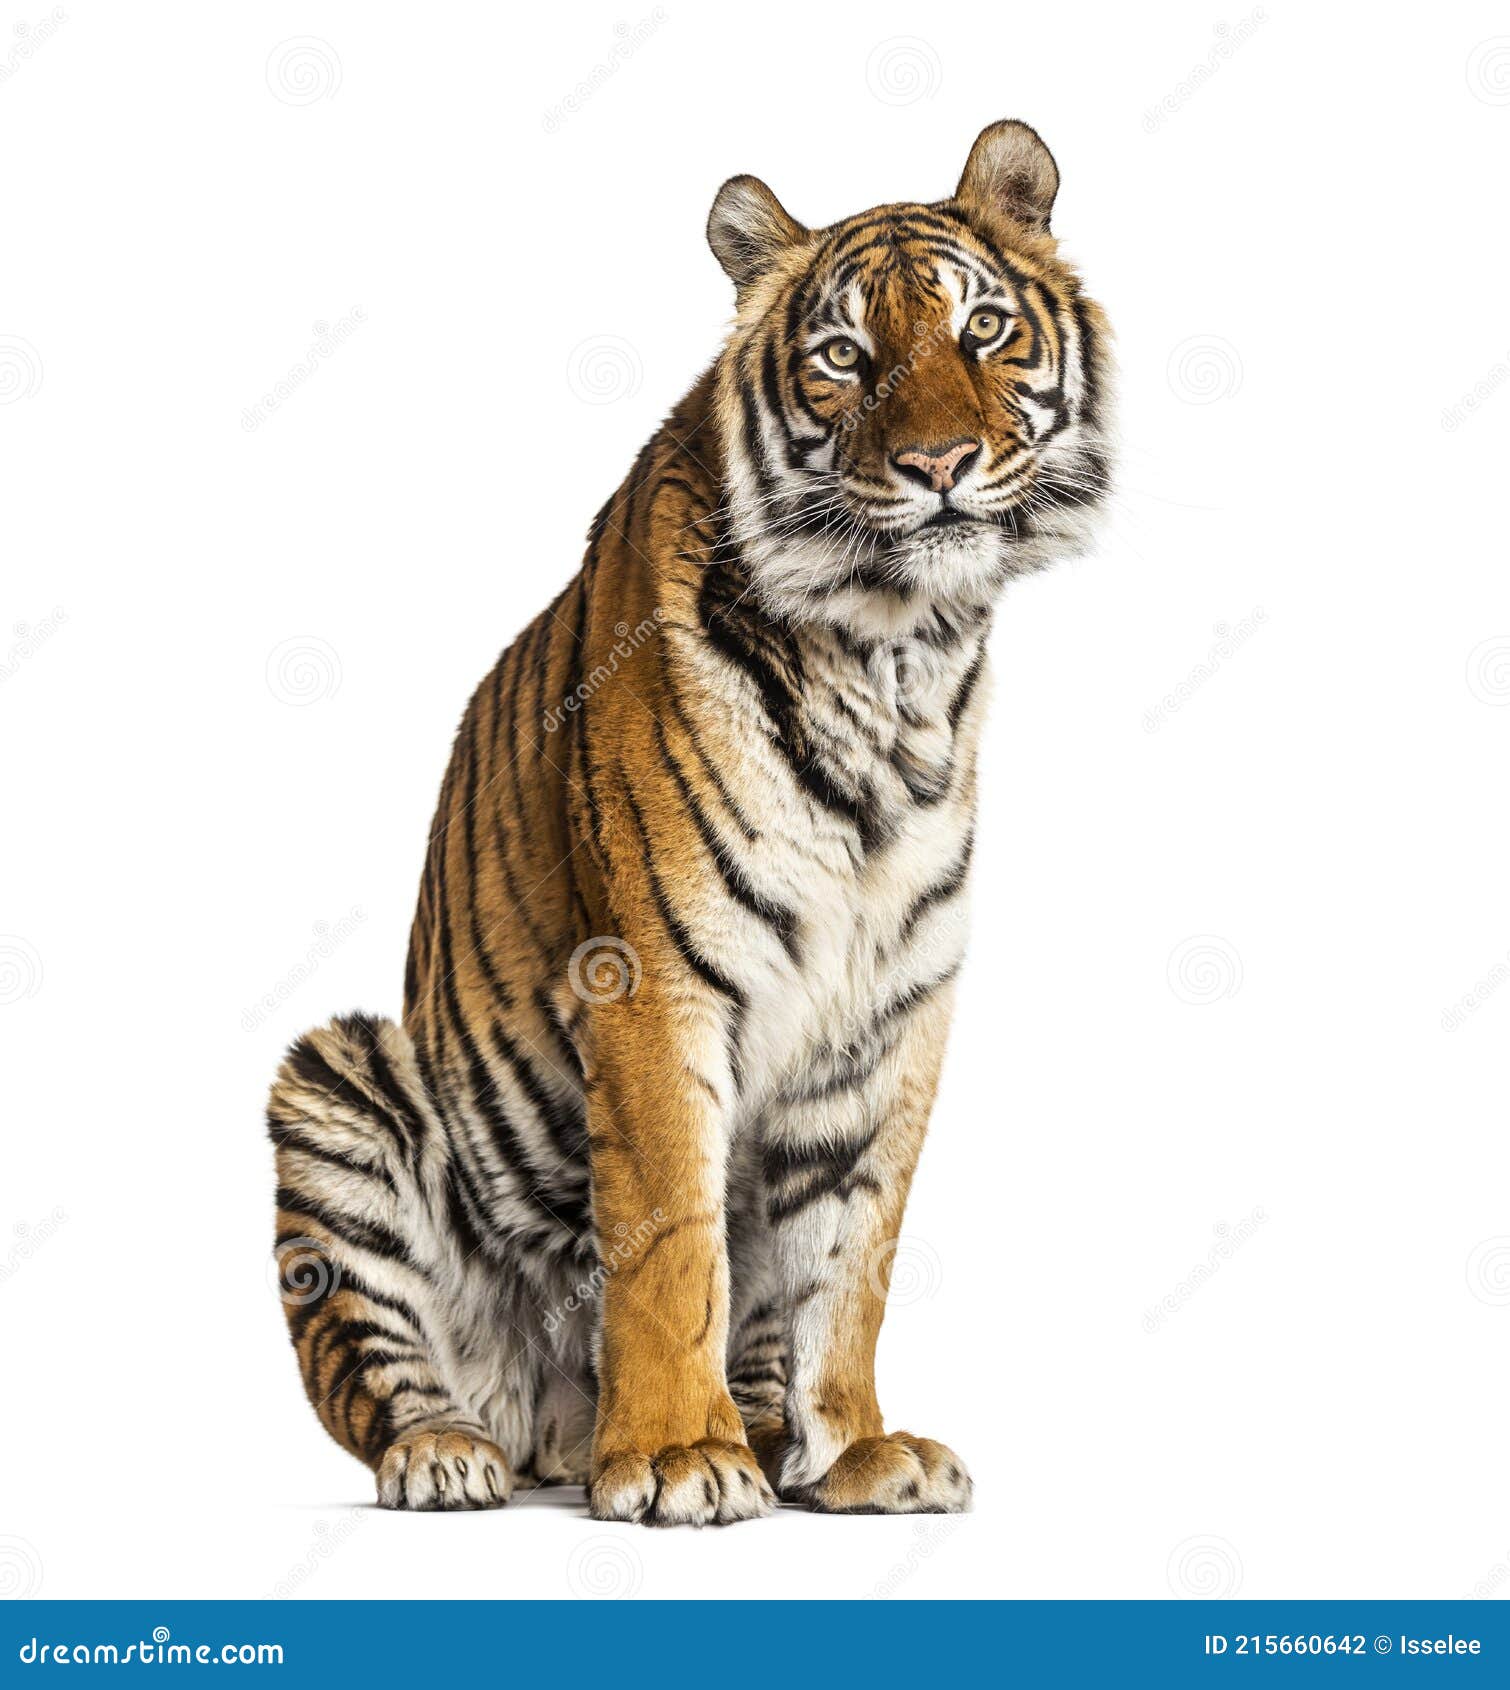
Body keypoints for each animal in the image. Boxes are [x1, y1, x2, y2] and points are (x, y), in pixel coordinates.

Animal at [268, 118, 1113, 1525]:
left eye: (983, 329)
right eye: (844, 357)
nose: (938, 466)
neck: (896, 657)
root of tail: (549, 1427)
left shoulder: (888, 1016)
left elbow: (851, 1259)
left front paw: (856, 1450)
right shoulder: (650, 981)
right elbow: (669, 1232)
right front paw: (672, 1454)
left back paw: (762, 1438)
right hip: (341, 1079)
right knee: (371, 1369)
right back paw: (454, 1452)